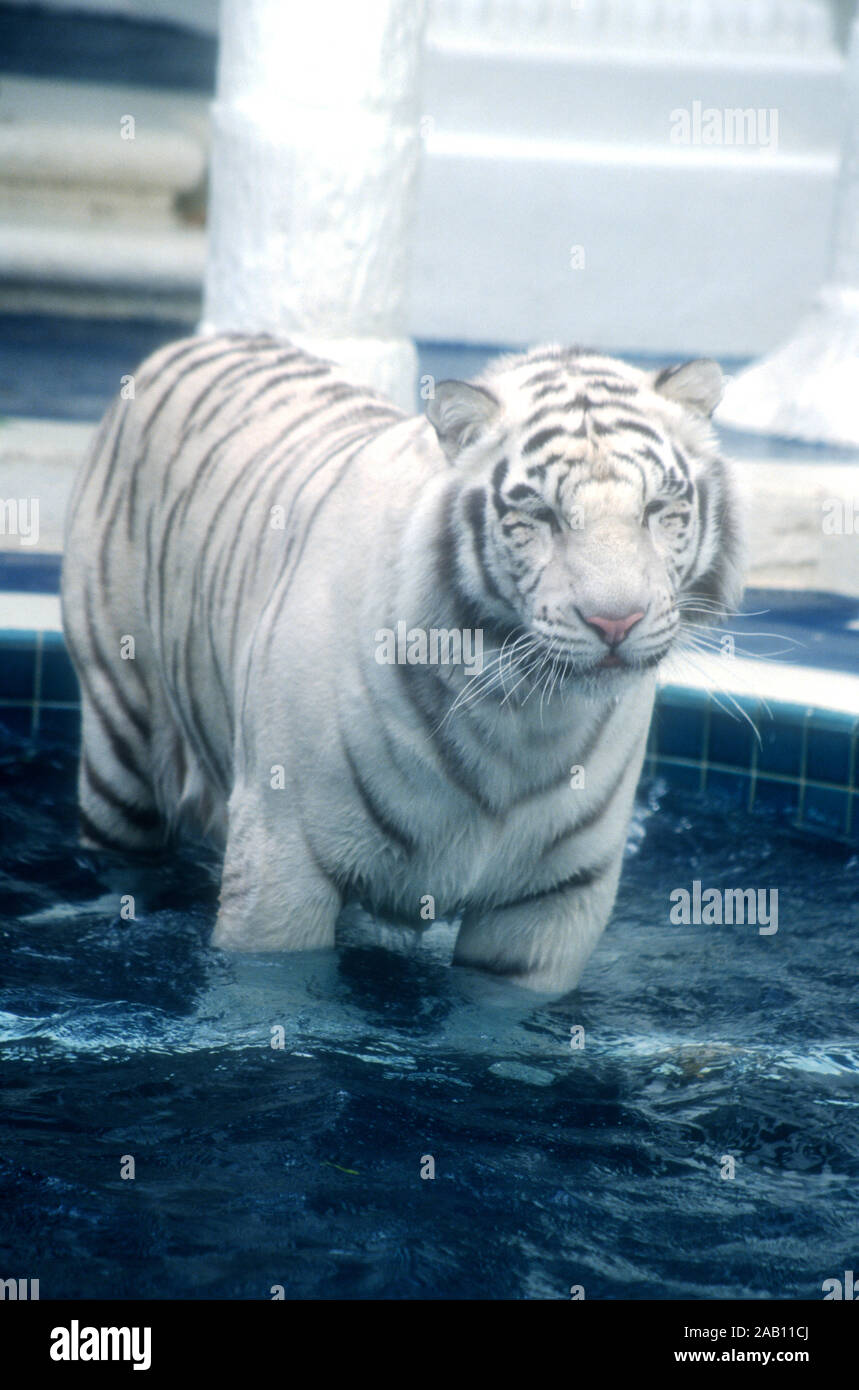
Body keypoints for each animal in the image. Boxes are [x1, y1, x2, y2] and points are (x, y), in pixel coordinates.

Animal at [61, 333, 743, 994]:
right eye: (541, 516)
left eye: (656, 509)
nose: (615, 622)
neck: (523, 716)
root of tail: (182, 347)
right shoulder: (283, 858)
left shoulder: (551, 899)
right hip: (120, 739)